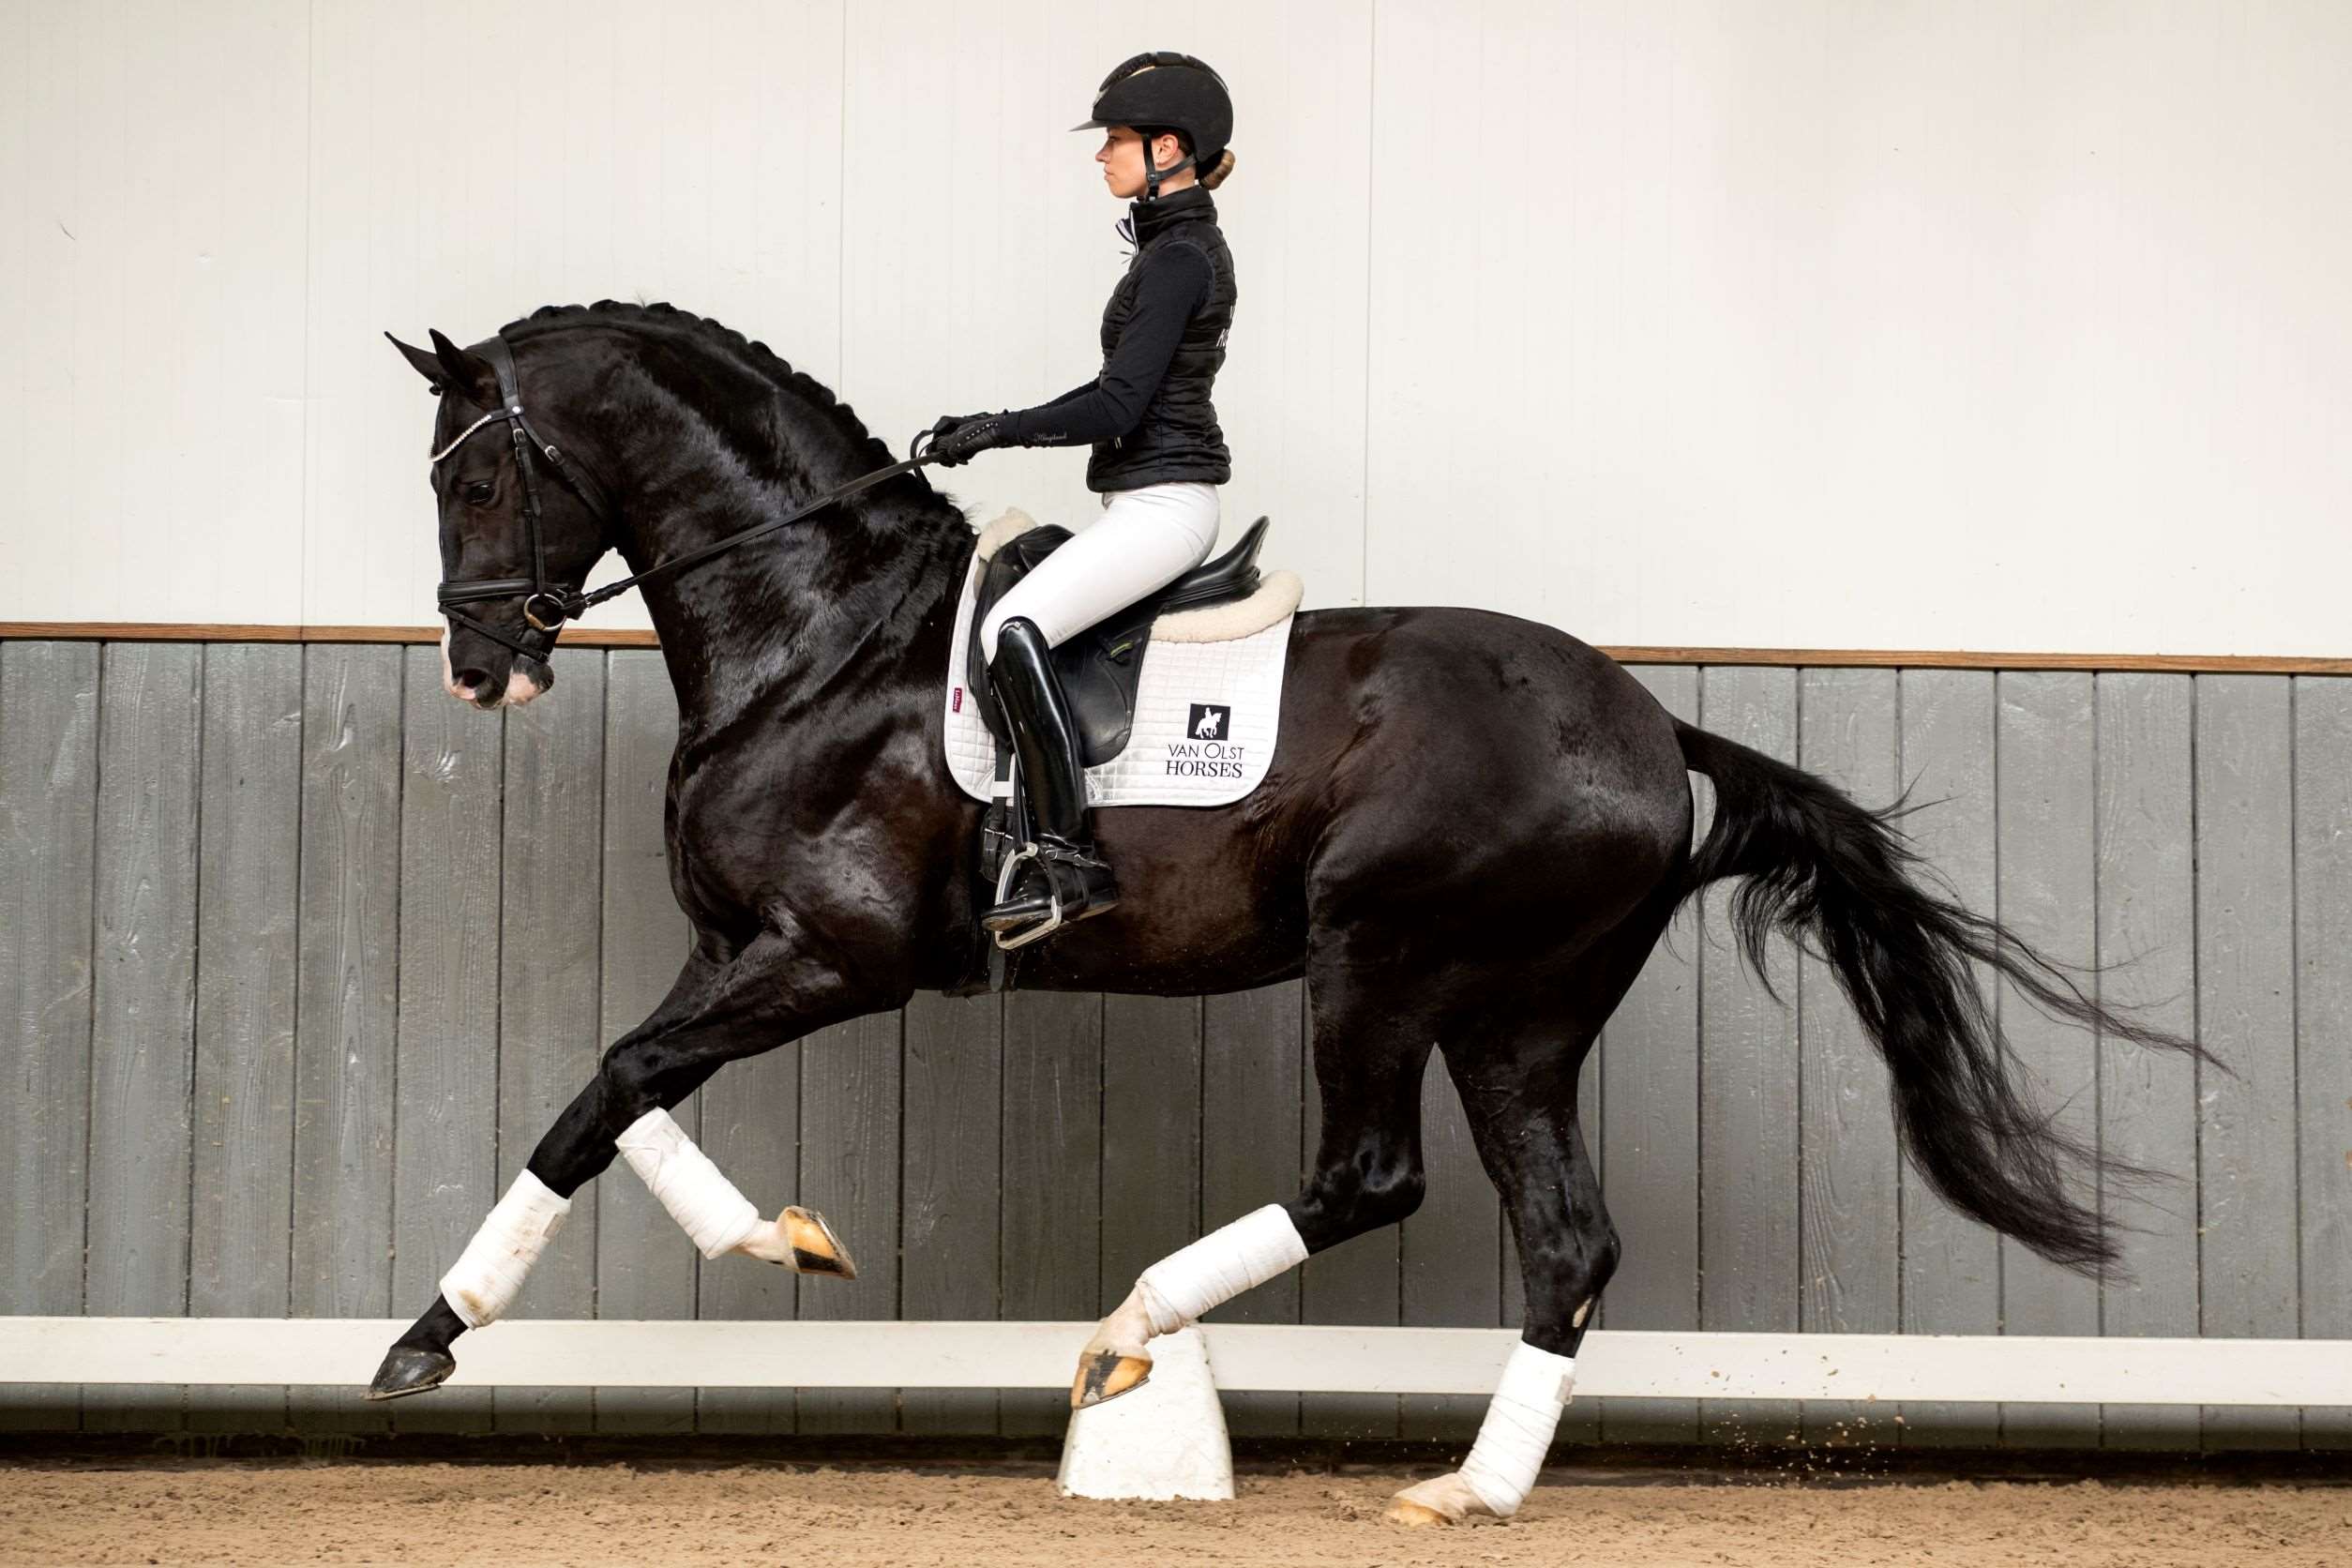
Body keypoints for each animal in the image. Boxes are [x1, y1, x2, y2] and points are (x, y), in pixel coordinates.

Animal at [375, 302, 2205, 1525]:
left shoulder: (836, 954)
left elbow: (611, 1085)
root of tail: (1647, 728)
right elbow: (617, 1101)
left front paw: (447, 1337)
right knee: (1566, 1237)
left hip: (1379, 959)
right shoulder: (742, 945)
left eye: (478, 483)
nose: (478, 663)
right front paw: (728, 1251)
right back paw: (1468, 1492)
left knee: (1367, 1178)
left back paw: (1130, 1338)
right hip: (1519, 1014)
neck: (820, 632)